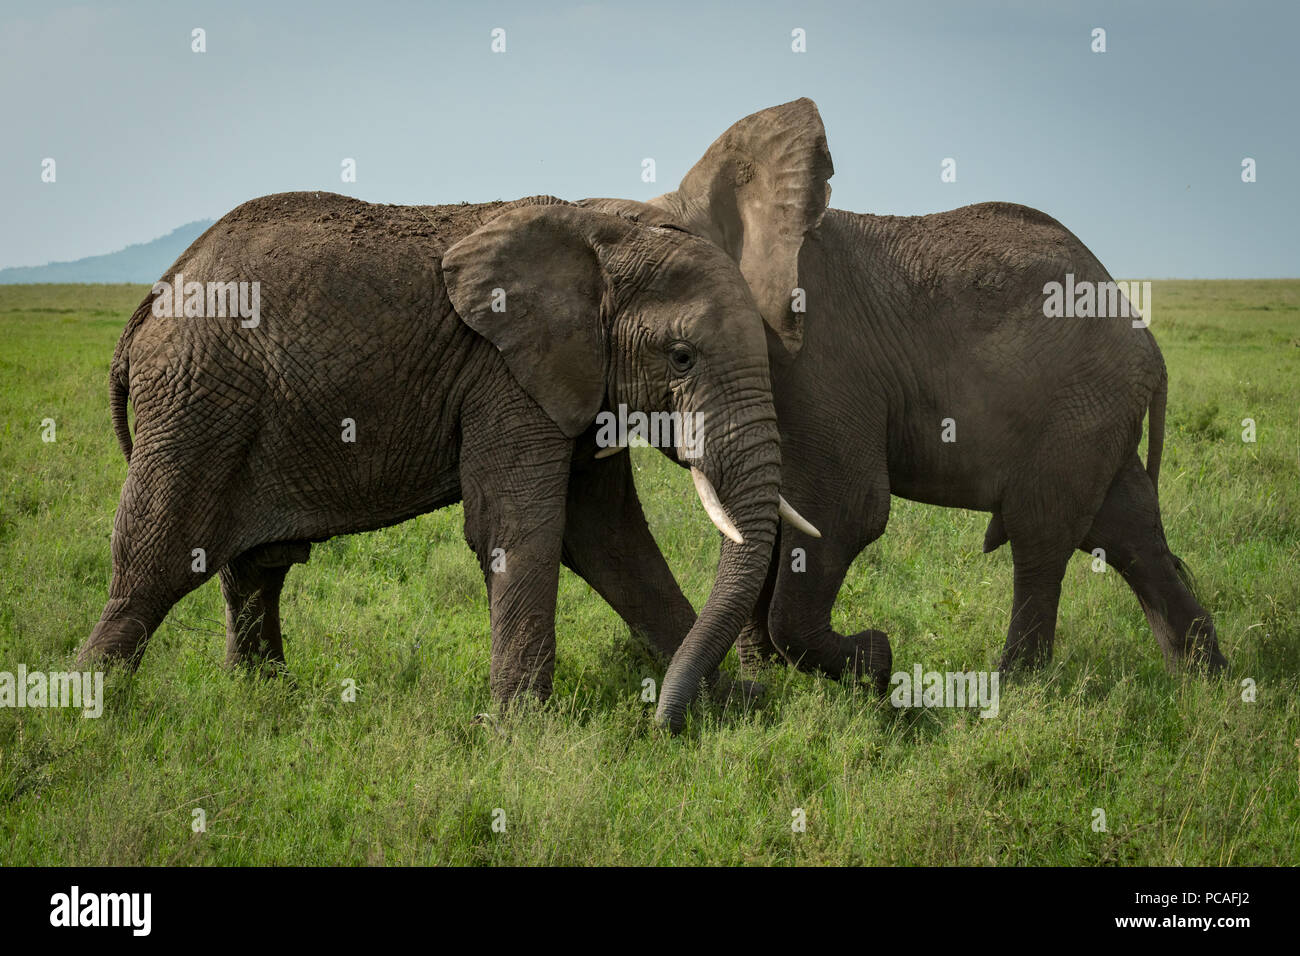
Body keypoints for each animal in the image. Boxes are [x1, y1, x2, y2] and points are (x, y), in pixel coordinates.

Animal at [76, 191, 824, 731]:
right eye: (682, 357)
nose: (660, 727)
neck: (604, 232)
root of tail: (147, 304)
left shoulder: (576, 375)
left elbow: (610, 540)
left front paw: (721, 705)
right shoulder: (505, 374)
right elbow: (517, 530)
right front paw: (523, 732)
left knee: (254, 569)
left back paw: (264, 697)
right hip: (197, 402)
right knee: (155, 561)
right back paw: (88, 712)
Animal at [581, 98, 1227, 689]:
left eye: (681, 354)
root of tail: (1146, 339)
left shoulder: (825, 365)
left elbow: (841, 511)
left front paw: (873, 659)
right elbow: (767, 513)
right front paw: (771, 682)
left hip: (1080, 406)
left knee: (1040, 533)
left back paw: (1013, 691)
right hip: (1097, 415)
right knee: (1126, 528)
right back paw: (1203, 683)